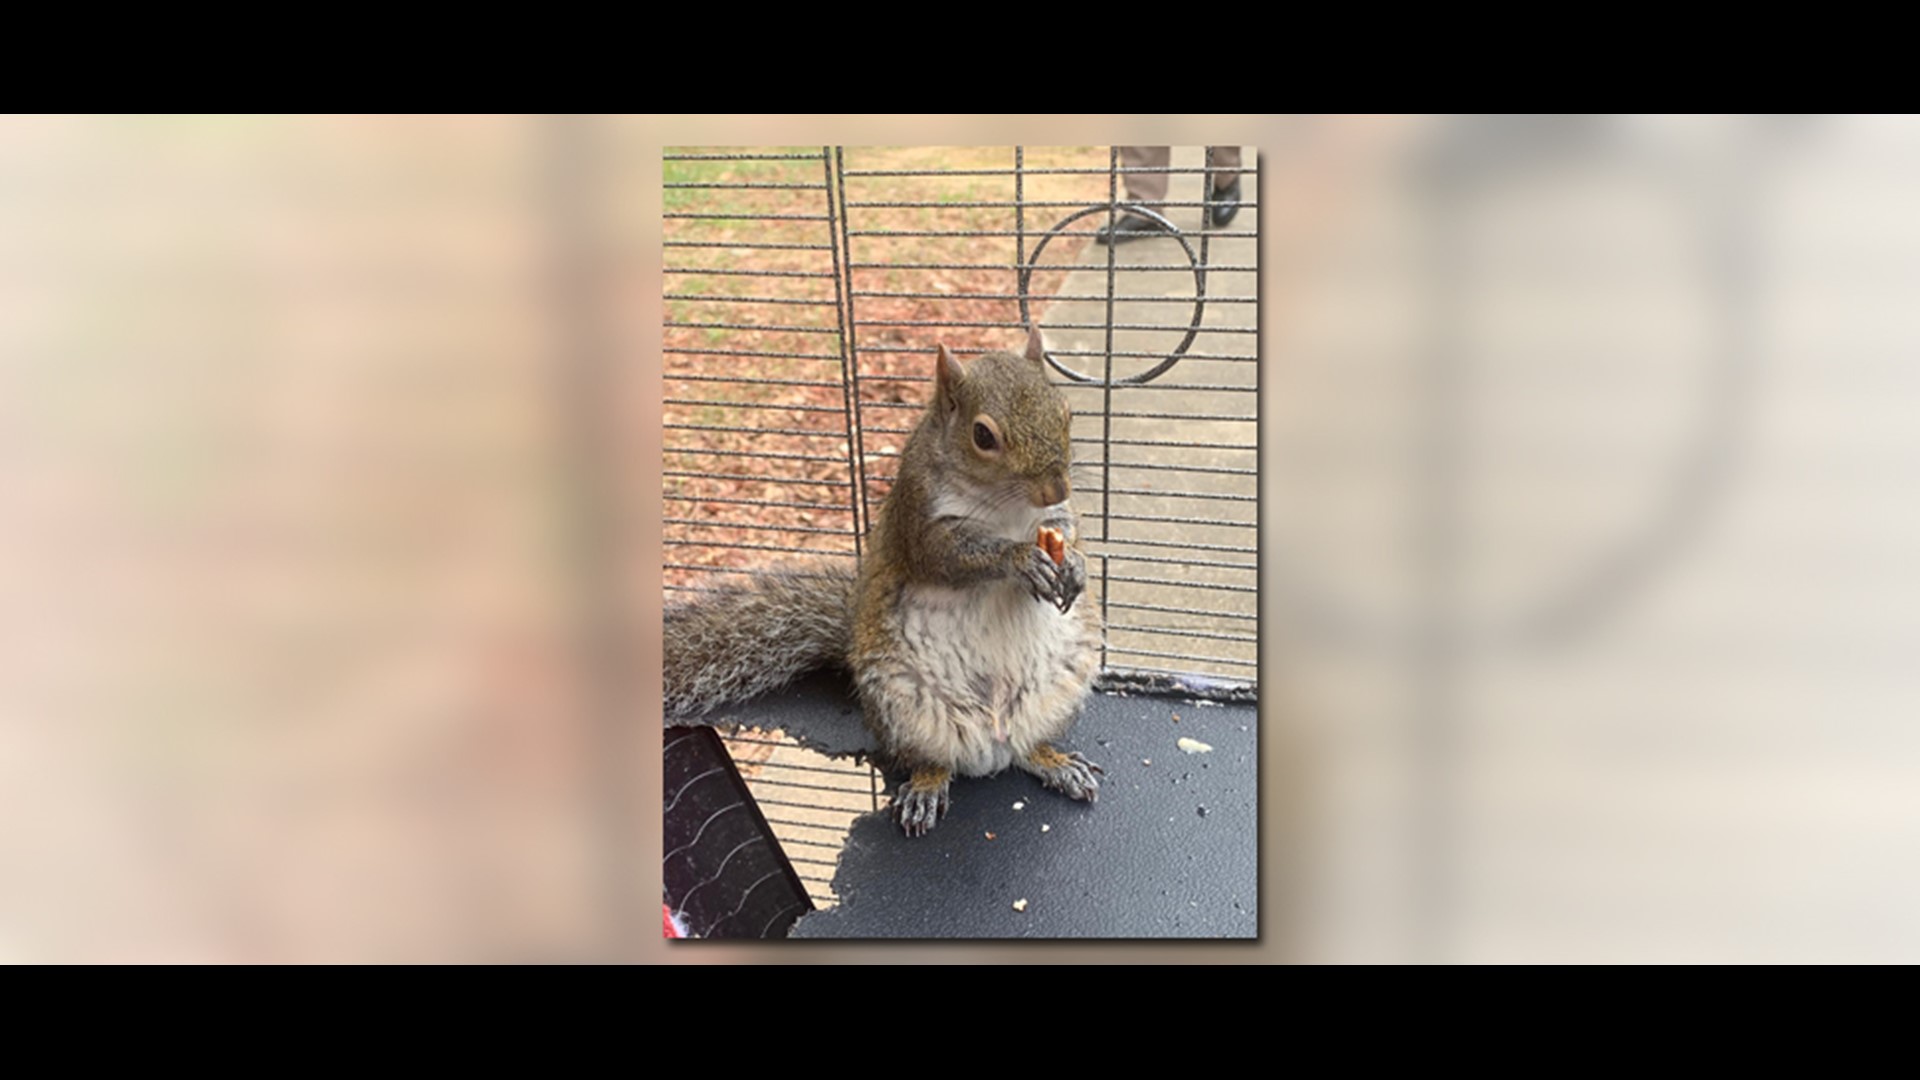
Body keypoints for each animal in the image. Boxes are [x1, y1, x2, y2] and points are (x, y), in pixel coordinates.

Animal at [664, 330, 1104, 836]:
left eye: (1066, 412)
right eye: (983, 435)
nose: (1057, 488)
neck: (1005, 507)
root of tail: (992, 744)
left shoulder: (1054, 519)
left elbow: (1069, 533)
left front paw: (1075, 566)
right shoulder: (919, 515)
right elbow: (948, 557)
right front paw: (1019, 560)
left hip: (1062, 688)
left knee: (1026, 750)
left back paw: (1056, 762)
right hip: (901, 706)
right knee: (930, 761)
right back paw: (926, 788)